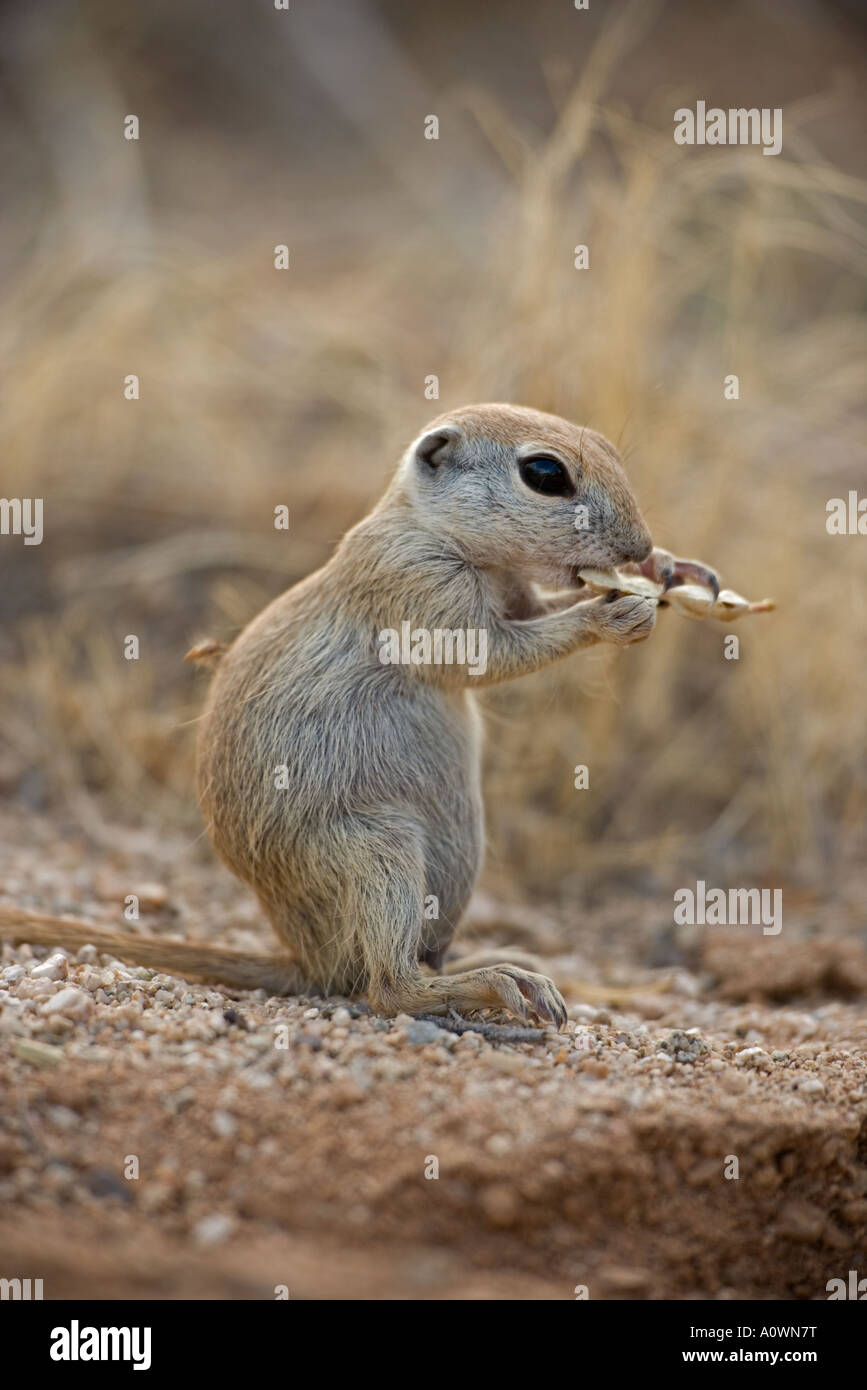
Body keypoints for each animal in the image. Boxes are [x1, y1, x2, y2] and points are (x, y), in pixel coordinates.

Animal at [0, 405, 717, 1026]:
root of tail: (306, 961)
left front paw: (674, 571)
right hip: (377, 852)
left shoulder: (511, 590)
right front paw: (612, 614)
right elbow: (494, 654)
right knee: (387, 987)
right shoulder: (420, 590)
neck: (430, 529)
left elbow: (532, 616)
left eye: (610, 449)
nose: (638, 544)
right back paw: (496, 983)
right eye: (545, 473)